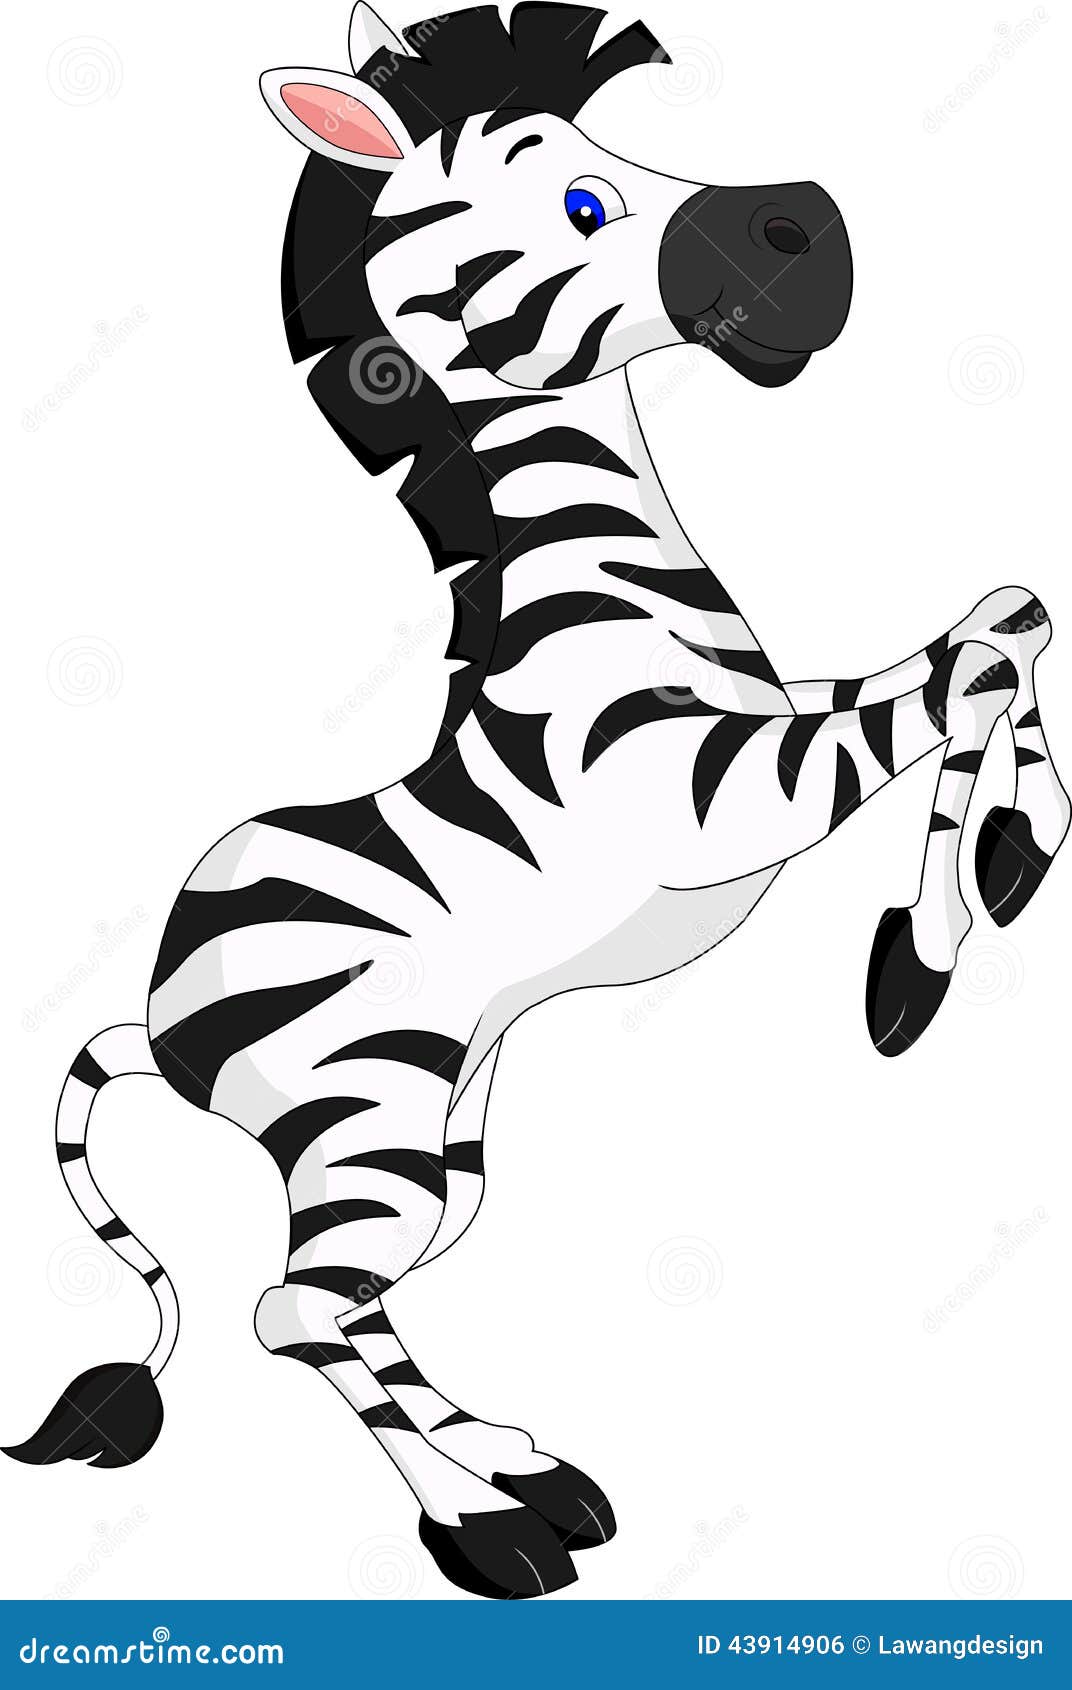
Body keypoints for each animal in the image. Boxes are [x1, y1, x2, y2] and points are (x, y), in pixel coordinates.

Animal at [7, 3, 1068, 1601]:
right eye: (577, 200)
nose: (809, 228)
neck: (602, 594)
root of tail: (159, 1012)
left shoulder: (772, 722)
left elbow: (1008, 620)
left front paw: (985, 883)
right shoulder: (728, 791)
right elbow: (974, 666)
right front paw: (930, 946)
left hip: (440, 1136)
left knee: (347, 1298)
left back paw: (524, 1462)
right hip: (365, 1109)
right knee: (293, 1307)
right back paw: (488, 1532)